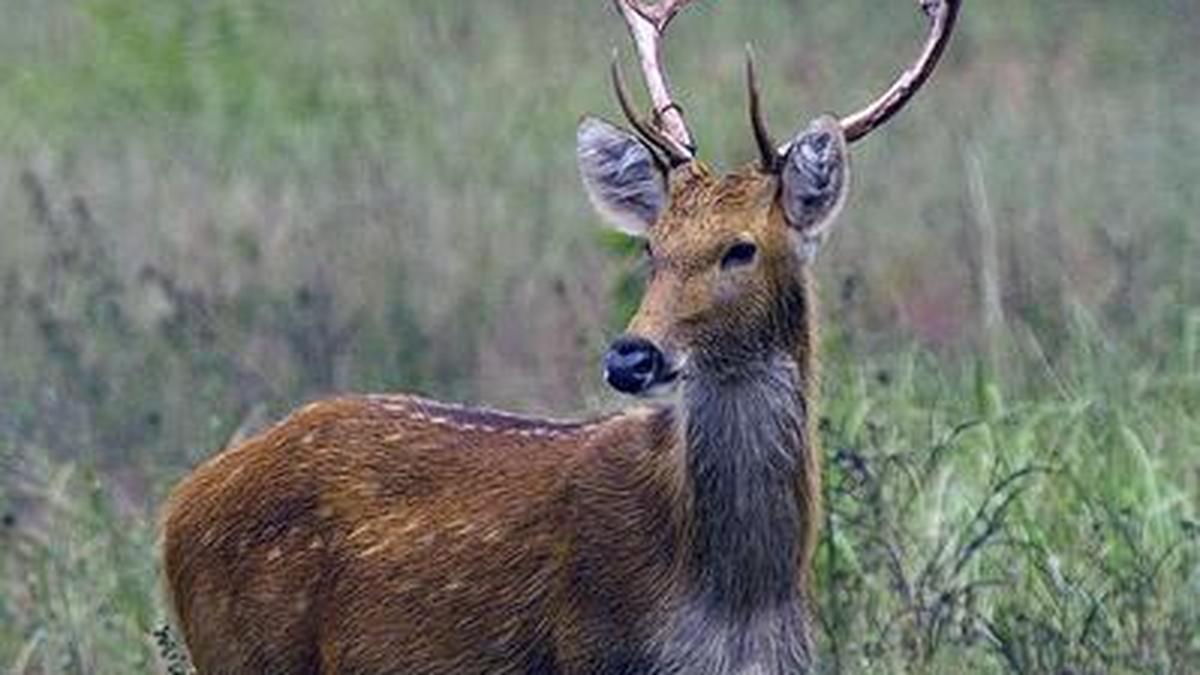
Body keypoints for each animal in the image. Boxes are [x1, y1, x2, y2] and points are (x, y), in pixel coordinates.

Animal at [160, 1, 961, 672]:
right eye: (652, 247)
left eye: (742, 248)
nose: (630, 355)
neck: (734, 606)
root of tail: (177, 508)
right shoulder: (590, 649)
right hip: (244, 650)